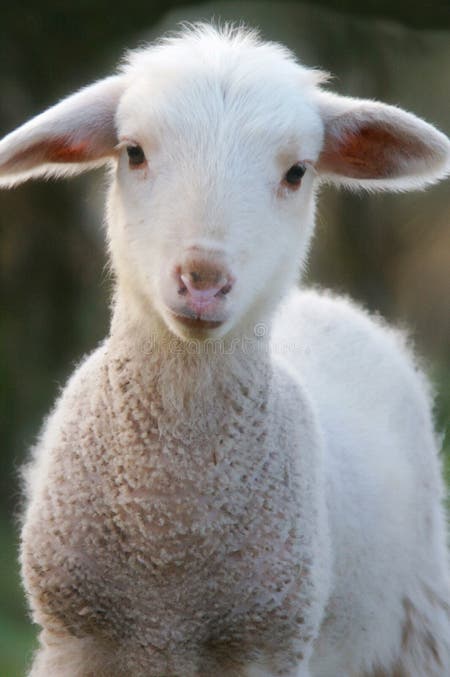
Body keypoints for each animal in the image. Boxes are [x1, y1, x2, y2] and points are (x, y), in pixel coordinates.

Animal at [0, 24, 449, 677]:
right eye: (133, 152)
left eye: (297, 172)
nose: (204, 280)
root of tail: (326, 301)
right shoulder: (73, 640)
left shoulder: (266, 645)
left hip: (417, 629)